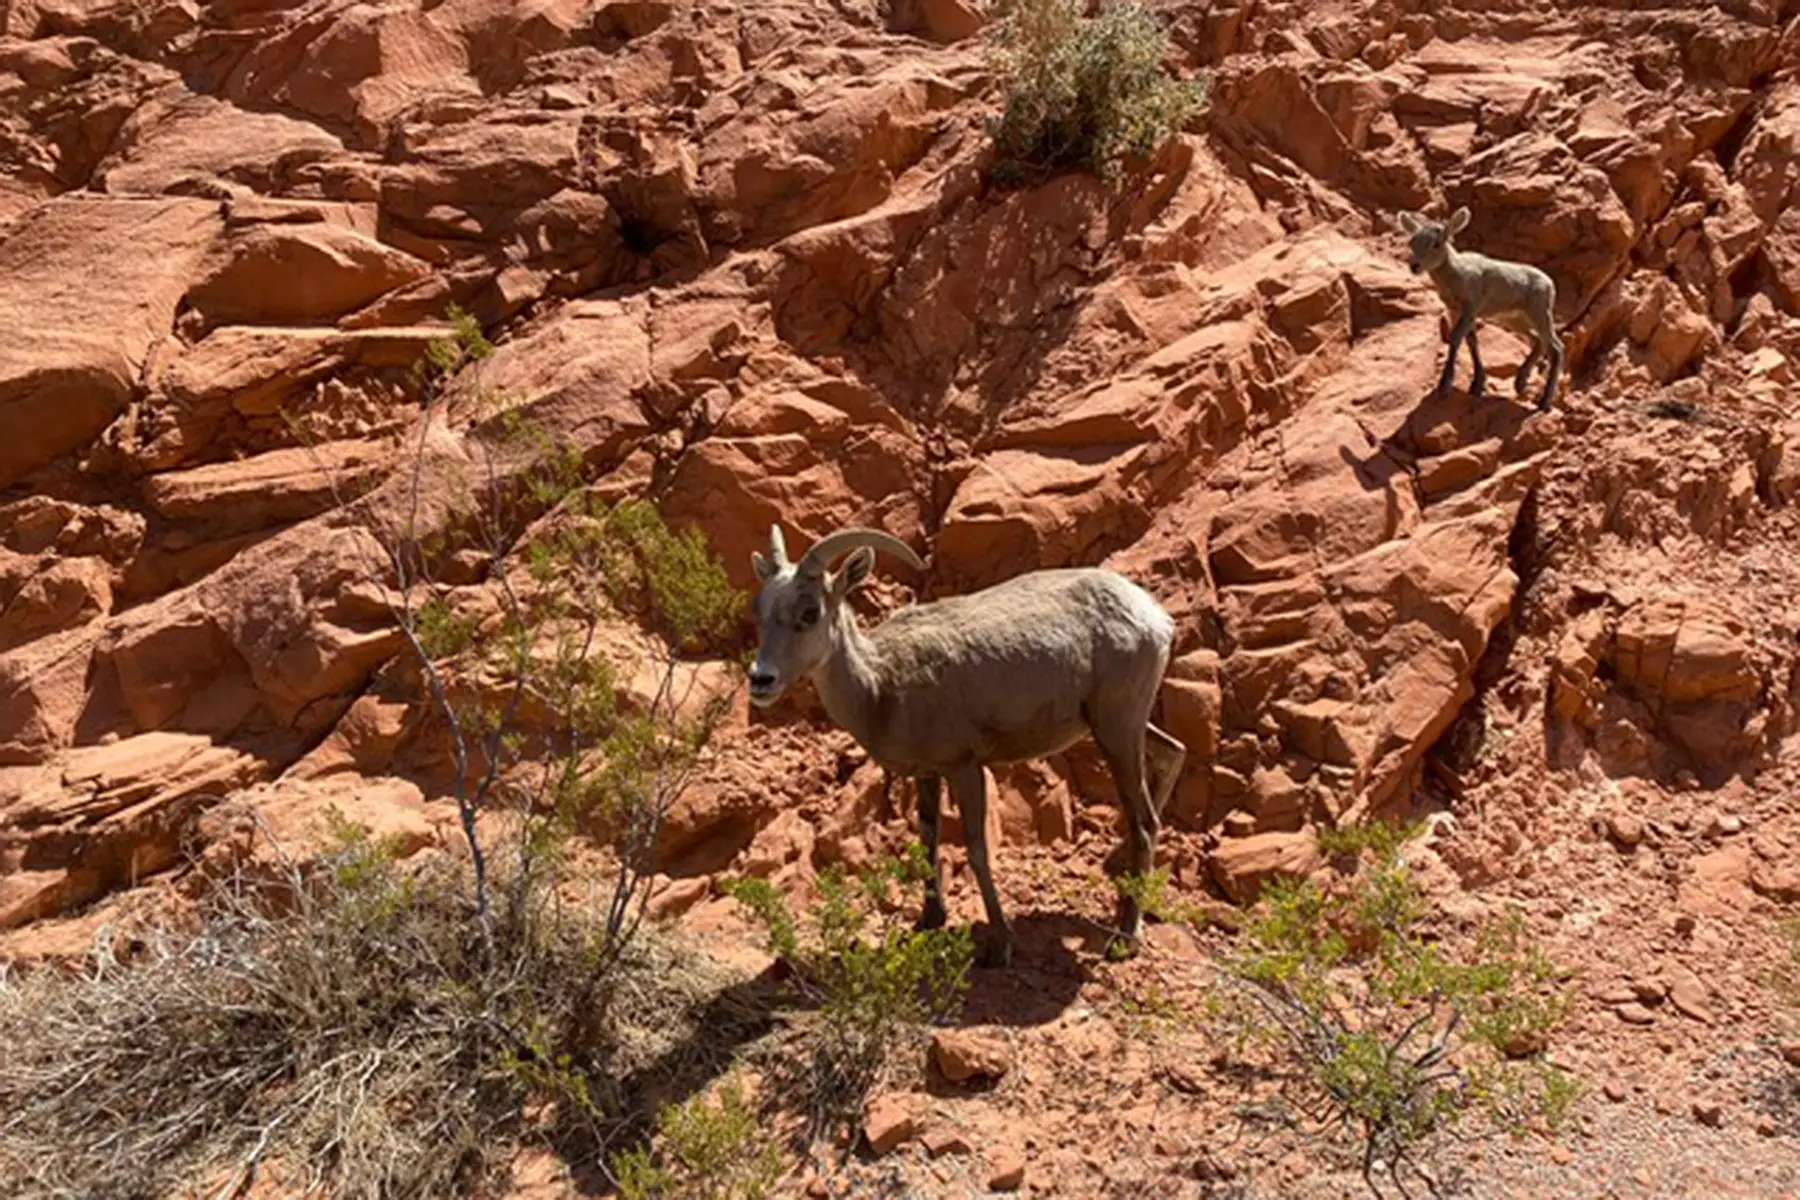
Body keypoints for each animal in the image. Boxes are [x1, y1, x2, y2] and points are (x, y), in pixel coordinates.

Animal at [752, 525, 1188, 964]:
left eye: (810, 613)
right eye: (761, 608)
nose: (760, 680)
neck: (881, 689)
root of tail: (1157, 619)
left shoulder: (964, 768)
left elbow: (977, 849)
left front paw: (1001, 945)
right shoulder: (928, 774)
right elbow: (927, 836)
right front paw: (930, 918)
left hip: (1117, 729)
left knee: (1145, 822)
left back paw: (1125, 937)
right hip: (1119, 726)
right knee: (1174, 753)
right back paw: (1119, 873)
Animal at [1396, 207, 1569, 413]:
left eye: (1436, 244)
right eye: (1412, 242)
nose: (1415, 266)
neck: (1458, 275)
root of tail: (1549, 283)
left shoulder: (1470, 309)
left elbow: (1456, 338)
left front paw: (1444, 385)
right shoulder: (1456, 310)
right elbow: (1471, 341)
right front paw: (1477, 385)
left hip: (1540, 314)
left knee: (1556, 348)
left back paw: (1544, 403)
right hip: (1514, 319)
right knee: (1538, 341)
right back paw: (1520, 384)